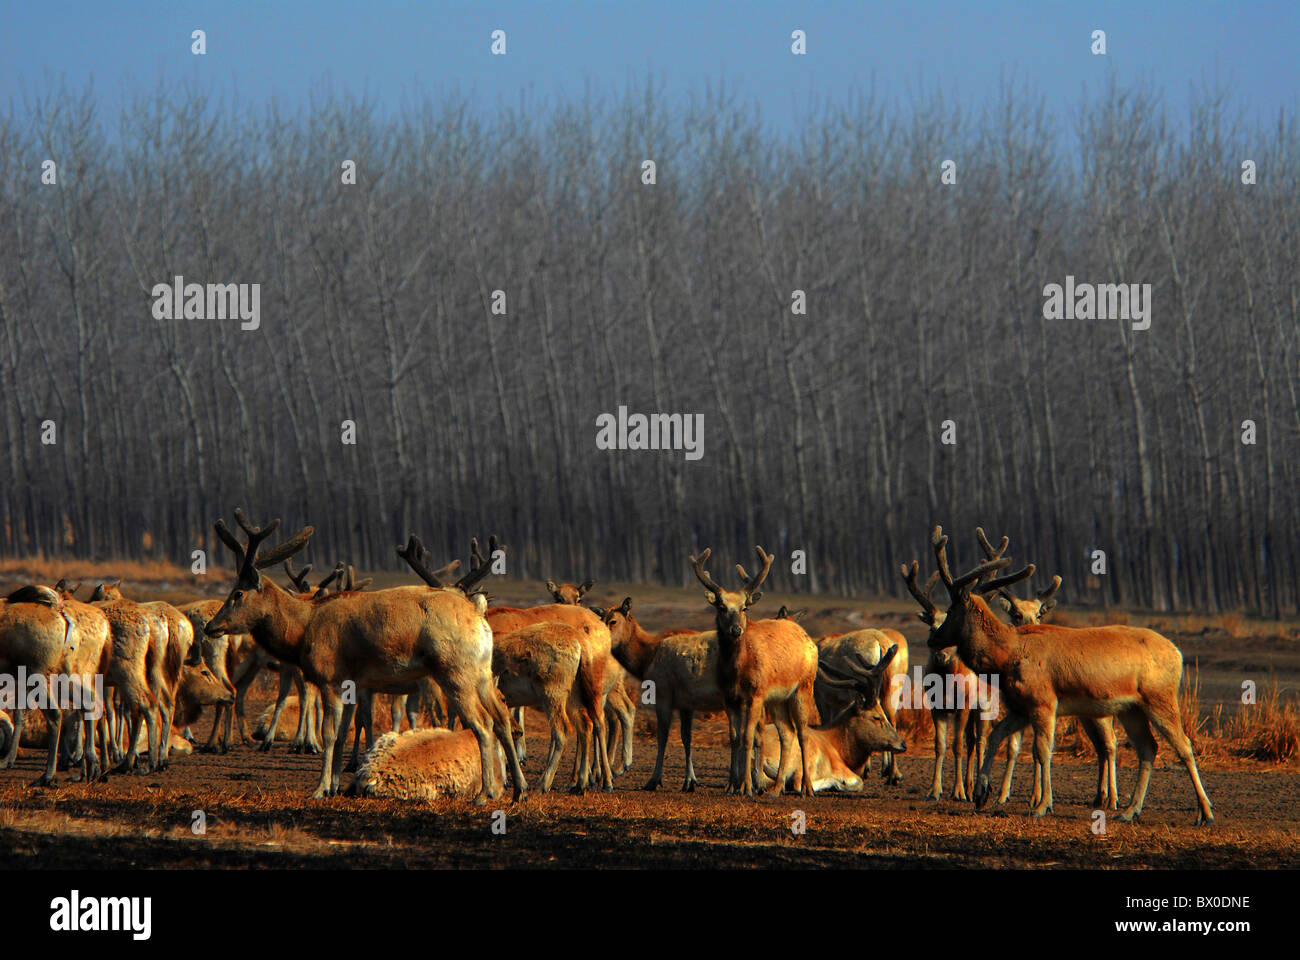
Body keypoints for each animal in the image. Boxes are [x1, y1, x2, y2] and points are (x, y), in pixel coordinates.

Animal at [205, 512, 526, 801]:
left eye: (238, 593)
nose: (211, 626)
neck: (302, 630)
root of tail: (479, 616)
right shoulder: (354, 683)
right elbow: (345, 730)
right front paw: (334, 785)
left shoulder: (331, 677)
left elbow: (330, 733)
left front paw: (319, 789)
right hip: (481, 672)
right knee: (501, 717)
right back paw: (518, 789)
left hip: (454, 671)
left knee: (482, 724)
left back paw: (485, 793)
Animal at [691, 546, 818, 797]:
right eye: (721, 607)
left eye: (744, 607)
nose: (736, 629)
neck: (736, 672)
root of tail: (807, 637)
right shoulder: (729, 698)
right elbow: (734, 738)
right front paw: (731, 785)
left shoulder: (756, 694)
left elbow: (748, 737)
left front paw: (747, 787)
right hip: (778, 699)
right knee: (787, 733)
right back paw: (776, 788)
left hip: (803, 687)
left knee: (803, 732)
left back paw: (806, 788)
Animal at [759, 645, 908, 793]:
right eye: (877, 717)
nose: (902, 744)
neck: (835, 743)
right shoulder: (839, 767)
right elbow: (859, 782)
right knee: (798, 783)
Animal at [923, 525, 1214, 824]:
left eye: (950, 610)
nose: (933, 640)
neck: (1007, 656)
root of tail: (1178, 653)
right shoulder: (1020, 706)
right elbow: (997, 736)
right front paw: (982, 793)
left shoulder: (1043, 701)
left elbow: (1042, 750)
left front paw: (1042, 805)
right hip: (1130, 708)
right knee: (1148, 747)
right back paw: (1130, 810)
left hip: (1160, 697)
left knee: (1183, 745)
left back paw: (1204, 812)